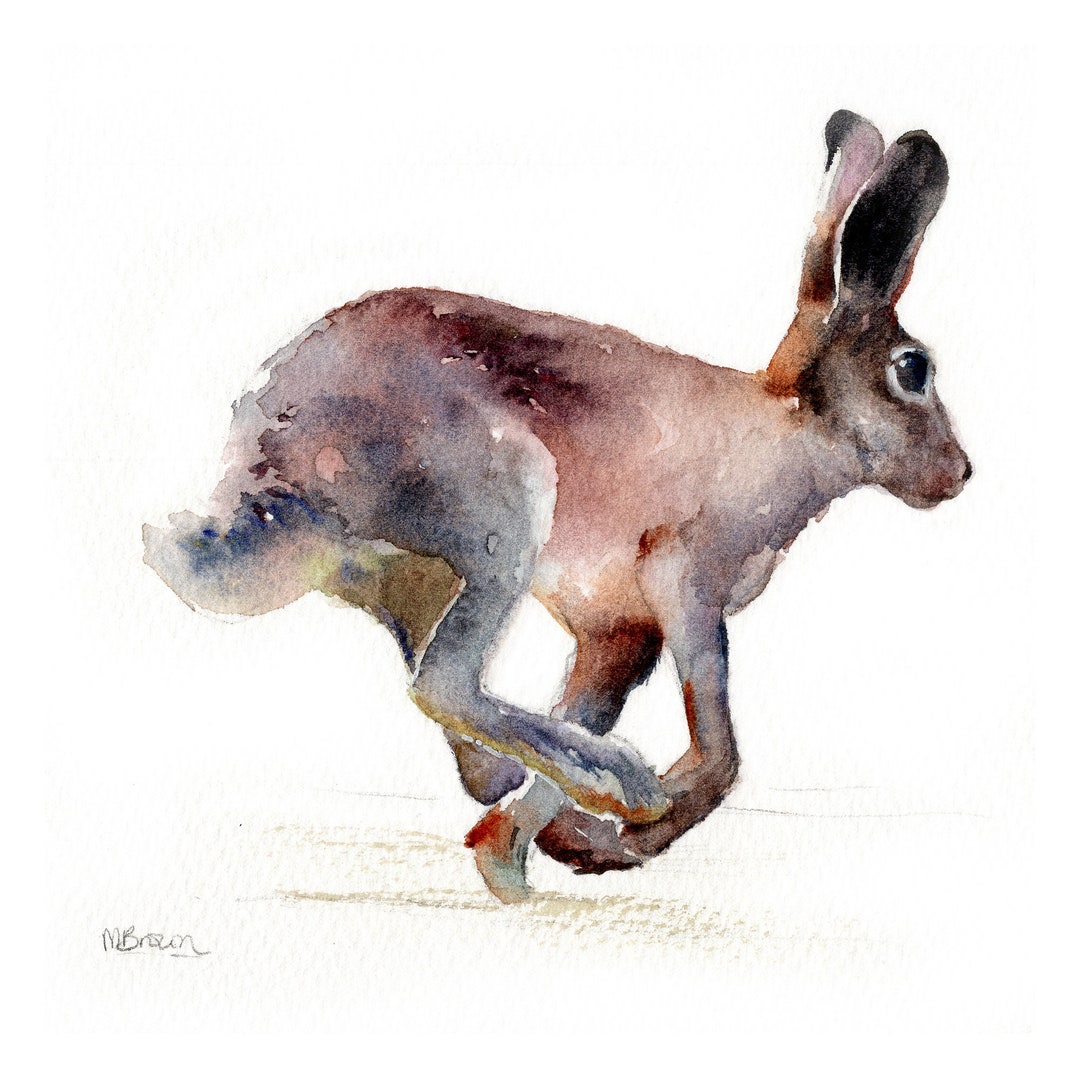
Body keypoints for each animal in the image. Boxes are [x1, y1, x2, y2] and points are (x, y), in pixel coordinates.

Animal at [144, 110, 970, 903]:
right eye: (914, 370)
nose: (960, 474)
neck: (796, 423)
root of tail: (264, 464)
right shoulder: (684, 581)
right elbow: (719, 754)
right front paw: (612, 836)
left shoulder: (620, 630)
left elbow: (593, 709)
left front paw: (522, 858)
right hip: (504, 508)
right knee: (443, 682)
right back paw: (619, 785)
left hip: (422, 573)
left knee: (446, 696)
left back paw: (532, 803)